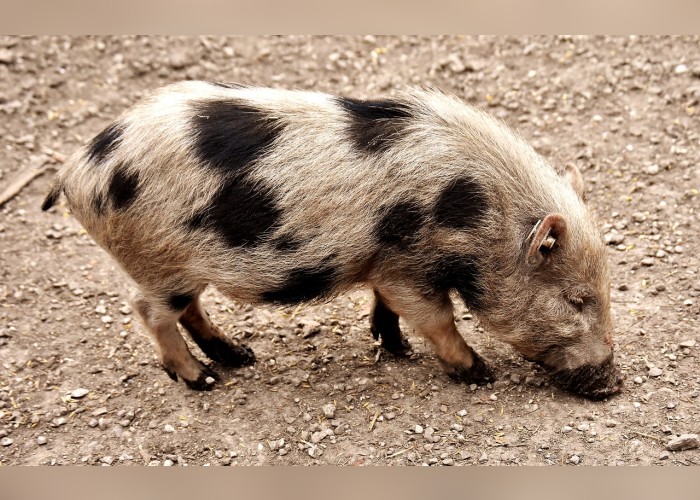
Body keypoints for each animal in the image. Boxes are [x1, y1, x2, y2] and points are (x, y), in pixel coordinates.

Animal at [41, 81, 623, 399]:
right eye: (576, 299)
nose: (615, 385)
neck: (475, 213)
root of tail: (77, 168)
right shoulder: (409, 264)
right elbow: (437, 317)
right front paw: (480, 373)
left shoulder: (388, 265)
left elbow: (386, 304)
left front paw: (396, 348)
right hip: (159, 262)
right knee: (149, 310)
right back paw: (205, 380)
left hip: (182, 266)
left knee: (190, 309)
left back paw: (241, 356)